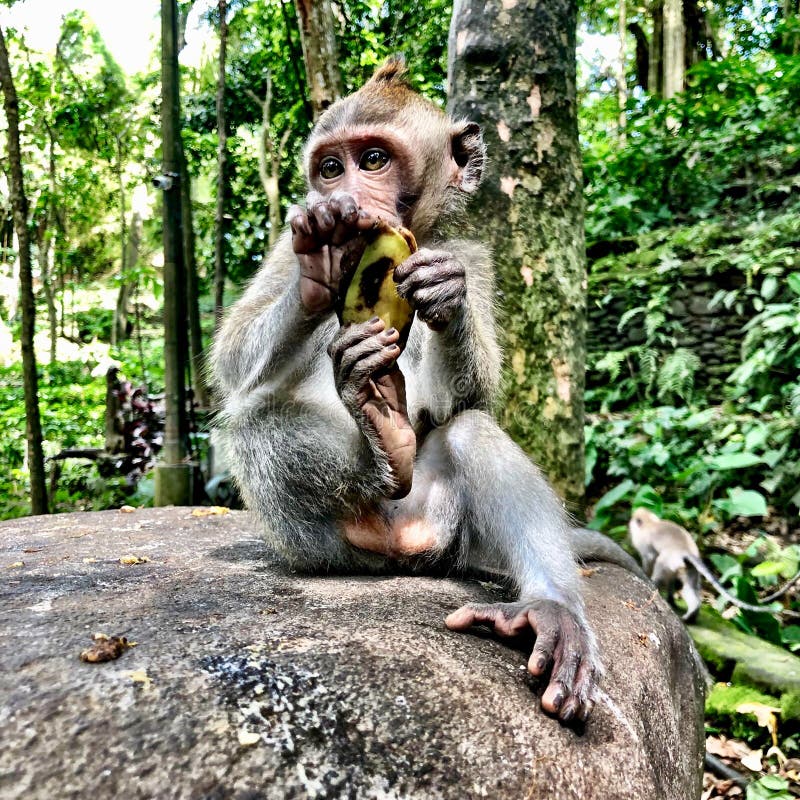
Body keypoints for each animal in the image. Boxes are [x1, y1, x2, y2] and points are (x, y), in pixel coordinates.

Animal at [211, 58, 637, 724]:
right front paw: (316, 270)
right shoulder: (284, 240)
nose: (343, 198)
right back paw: (381, 438)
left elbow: (471, 397)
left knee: (469, 431)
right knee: (258, 423)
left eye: (373, 159)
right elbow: (232, 359)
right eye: (330, 168)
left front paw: (445, 296)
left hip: (443, 524)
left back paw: (550, 610)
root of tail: (396, 549)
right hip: (319, 545)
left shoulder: (473, 253)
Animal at [628, 507, 800, 622]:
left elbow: (649, 558)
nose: (630, 522)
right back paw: (691, 611)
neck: (650, 523)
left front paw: (644, 572)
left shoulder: (644, 544)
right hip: (688, 566)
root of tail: (686, 551)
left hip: (668, 560)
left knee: (660, 569)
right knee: (689, 588)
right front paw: (670, 597)